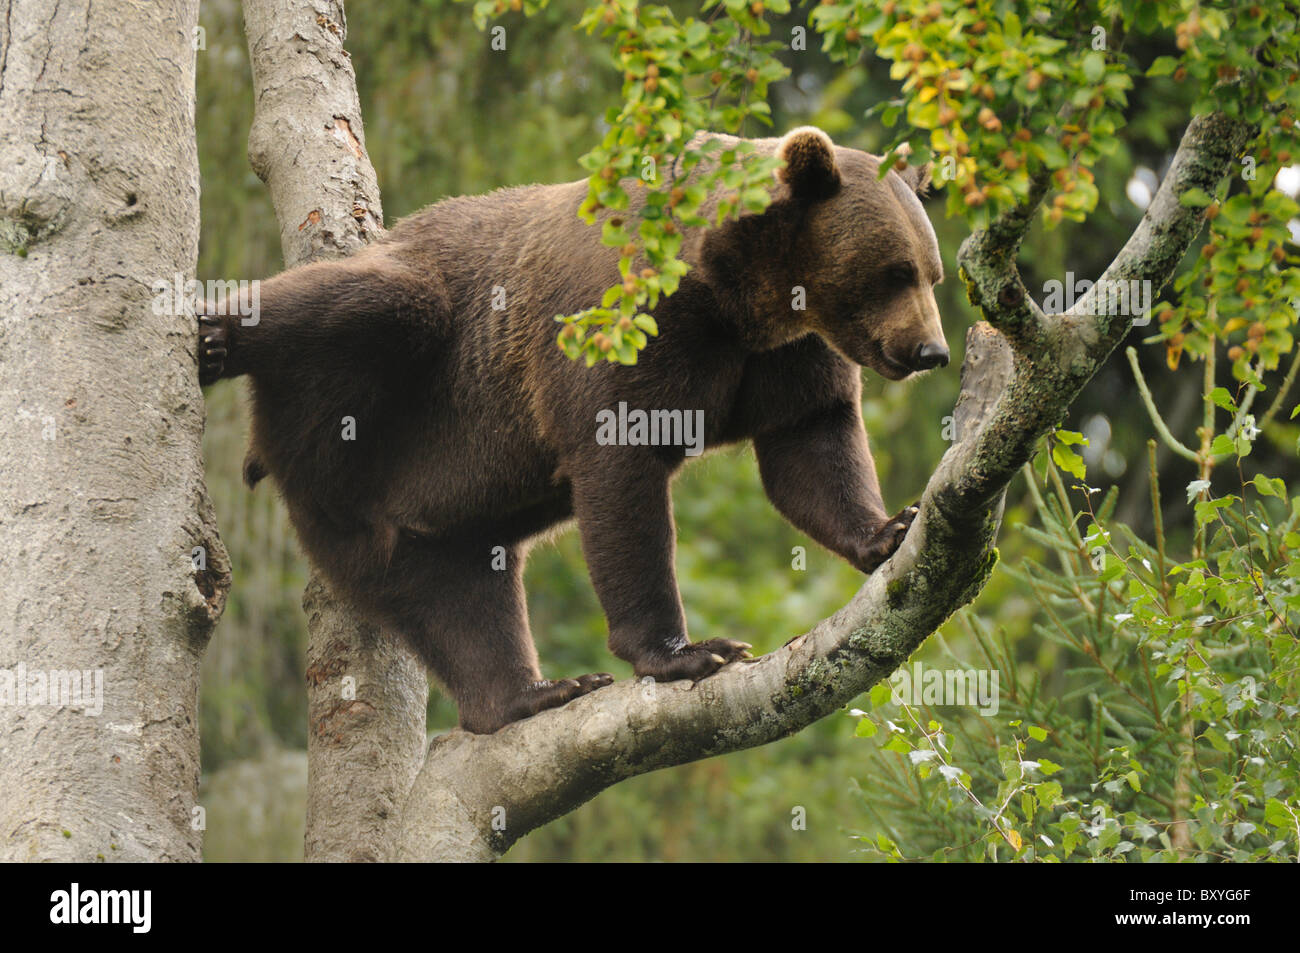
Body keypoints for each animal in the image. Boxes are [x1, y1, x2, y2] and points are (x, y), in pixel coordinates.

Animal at [198, 126, 947, 734]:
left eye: (931, 272)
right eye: (895, 272)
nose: (930, 351)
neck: (736, 295)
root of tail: (273, 449)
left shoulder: (780, 359)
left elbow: (810, 448)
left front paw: (890, 526)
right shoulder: (630, 328)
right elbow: (622, 480)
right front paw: (689, 651)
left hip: (408, 501)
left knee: (455, 595)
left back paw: (529, 694)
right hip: (395, 365)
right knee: (373, 301)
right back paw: (216, 334)